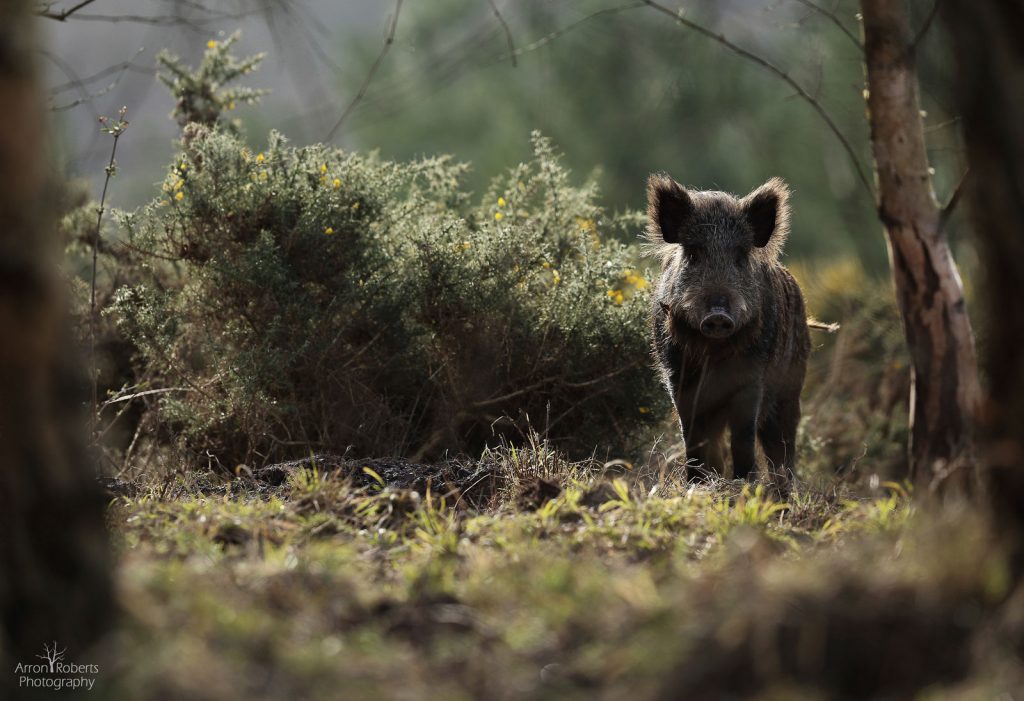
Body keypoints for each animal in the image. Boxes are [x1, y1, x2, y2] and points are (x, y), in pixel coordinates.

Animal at [647, 174, 811, 484]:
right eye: (694, 254)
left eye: (740, 257)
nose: (718, 315)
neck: (714, 350)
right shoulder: (677, 377)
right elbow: (692, 437)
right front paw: (697, 484)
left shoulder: (752, 377)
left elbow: (743, 436)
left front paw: (744, 483)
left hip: (791, 386)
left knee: (782, 445)